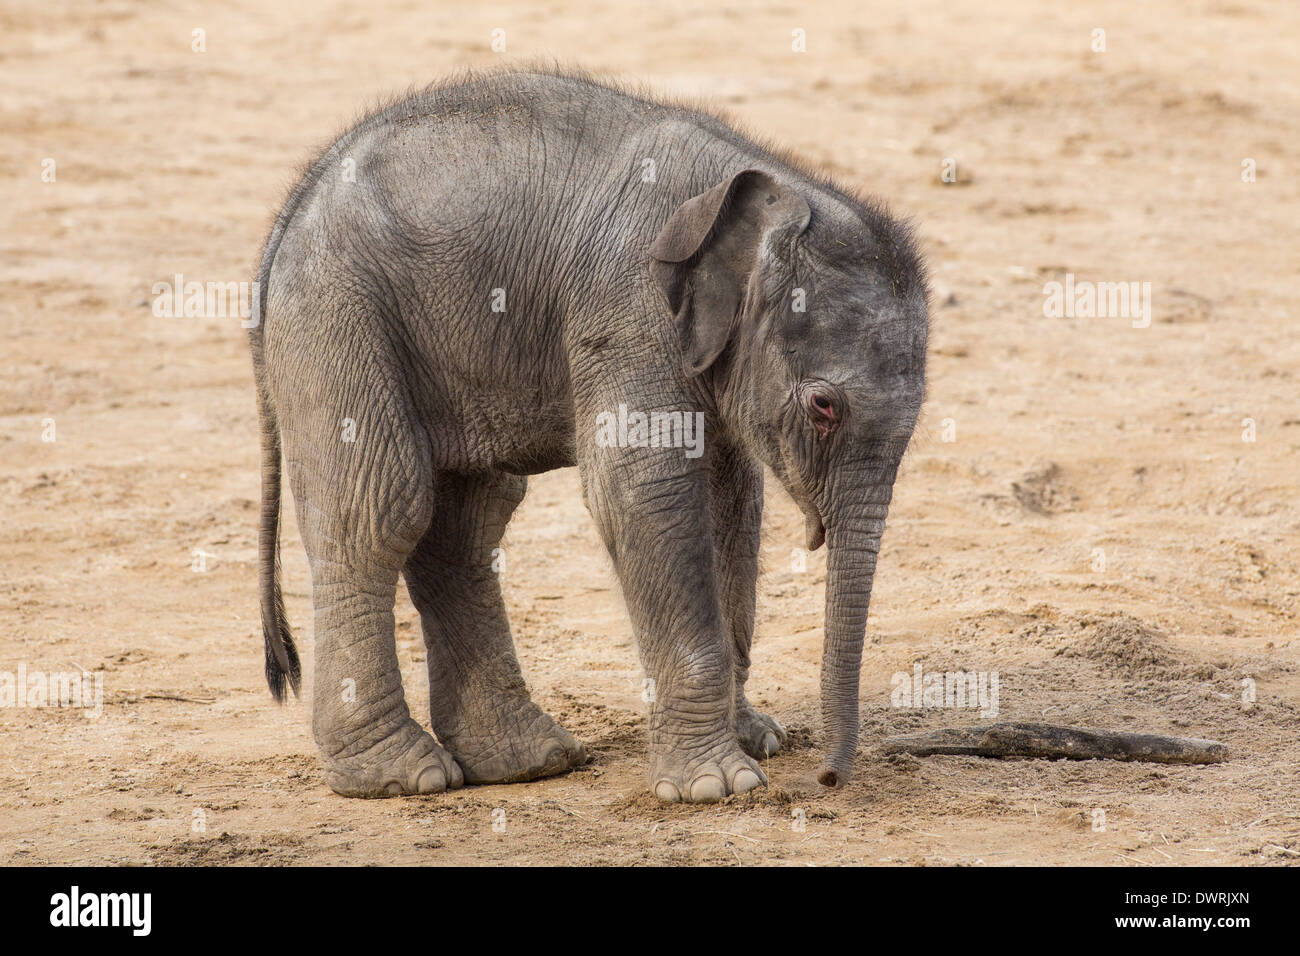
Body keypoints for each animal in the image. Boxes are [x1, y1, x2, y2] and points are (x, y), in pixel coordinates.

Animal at [250, 67, 928, 803]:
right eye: (824, 406)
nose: (828, 777)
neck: (767, 187)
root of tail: (287, 212)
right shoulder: (629, 309)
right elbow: (644, 494)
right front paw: (718, 788)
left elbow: (732, 502)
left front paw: (758, 741)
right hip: (338, 318)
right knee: (381, 512)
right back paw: (408, 775)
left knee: (467, 521)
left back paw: (529, 759)